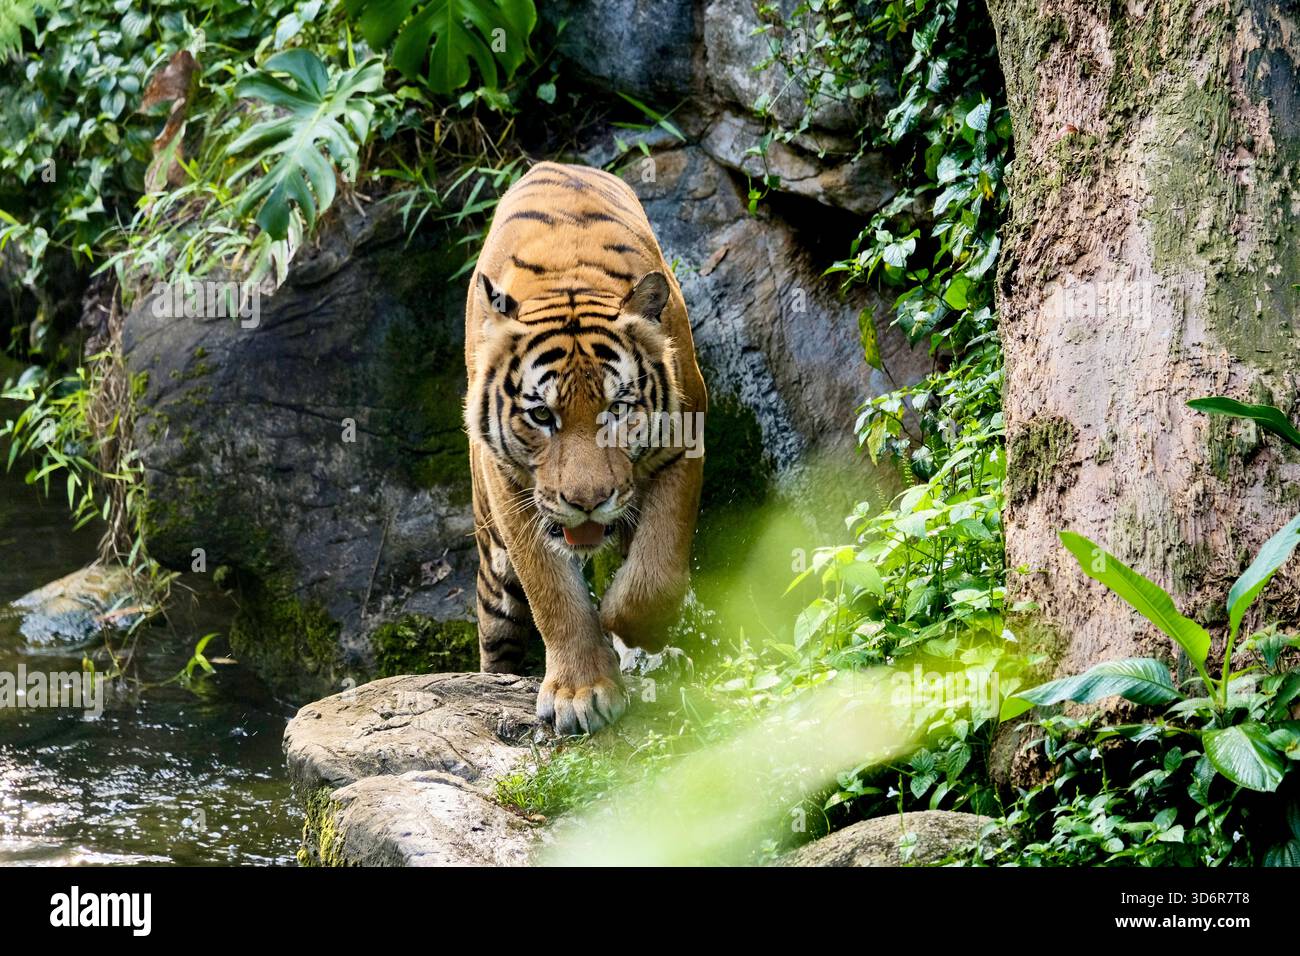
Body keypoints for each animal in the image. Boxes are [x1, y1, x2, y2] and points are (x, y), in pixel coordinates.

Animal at [463, 160, 707, 735]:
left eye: (616, 410)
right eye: (541, 416)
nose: (587, 502)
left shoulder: (684, 442)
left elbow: (655, 574)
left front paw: (627, 628)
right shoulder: (511, 488)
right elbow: (552, 595)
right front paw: (580, 692)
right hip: (493, 558)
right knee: (497, 627)